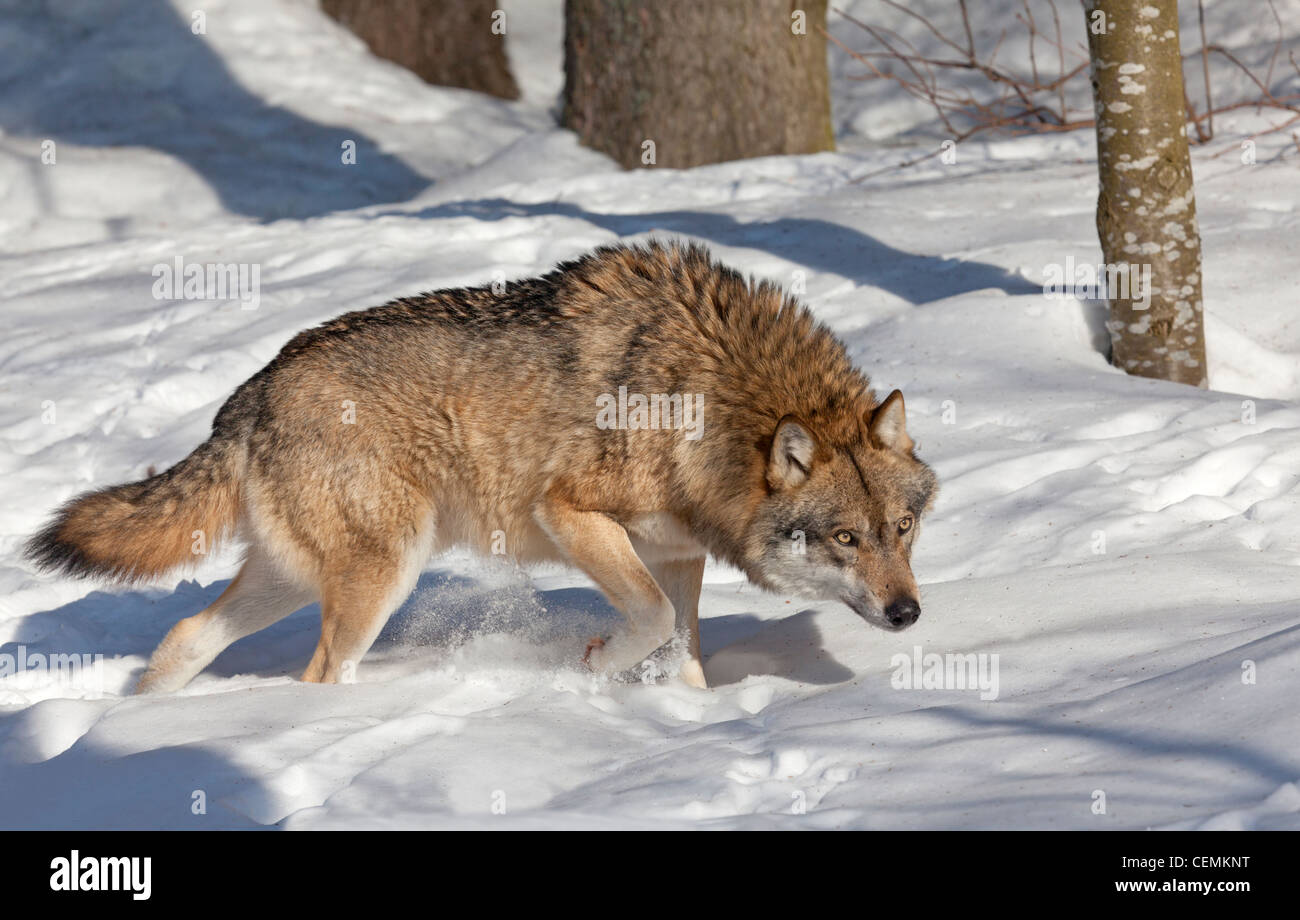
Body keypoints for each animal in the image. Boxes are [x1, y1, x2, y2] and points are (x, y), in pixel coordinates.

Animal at [26, 241, 938, 693]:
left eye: (902, 528)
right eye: (845, 539)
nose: (909, 615)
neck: (711, 397)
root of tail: (254, 388)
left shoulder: (679, 553)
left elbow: (685, 652)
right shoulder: (569, 515)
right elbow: (645, 621)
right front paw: (593, 668)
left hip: (291, 578)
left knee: (184, 638)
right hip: (382, 574)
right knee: (320, 672)